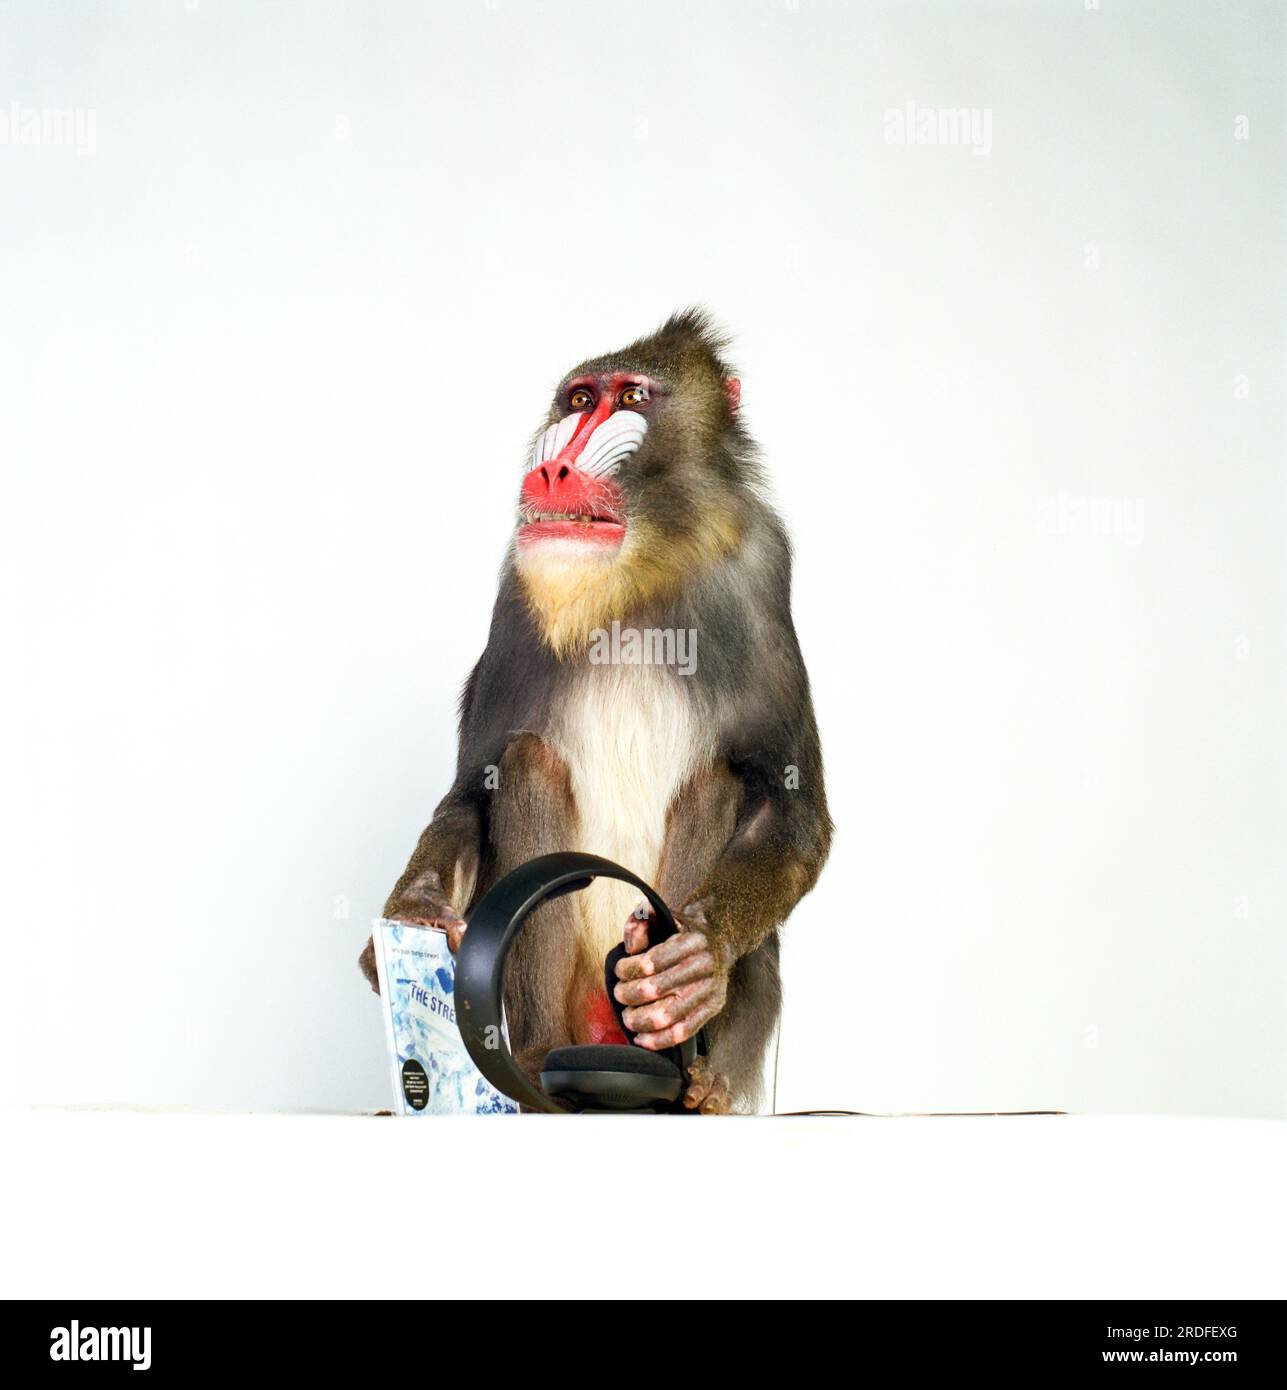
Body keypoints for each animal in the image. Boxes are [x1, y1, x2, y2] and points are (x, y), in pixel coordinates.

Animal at [360, 309, 831, 1113]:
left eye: (633, 397)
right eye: (580, 401)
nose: (554, 470)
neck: (634, 583)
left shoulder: (761, 577)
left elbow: (793, 811)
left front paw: (696, 962)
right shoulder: (515, 602)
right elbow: (473, 786)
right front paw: (411, 915)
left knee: (717, 781)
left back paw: (692, 1070)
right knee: (529, 762)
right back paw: (540, 1057)